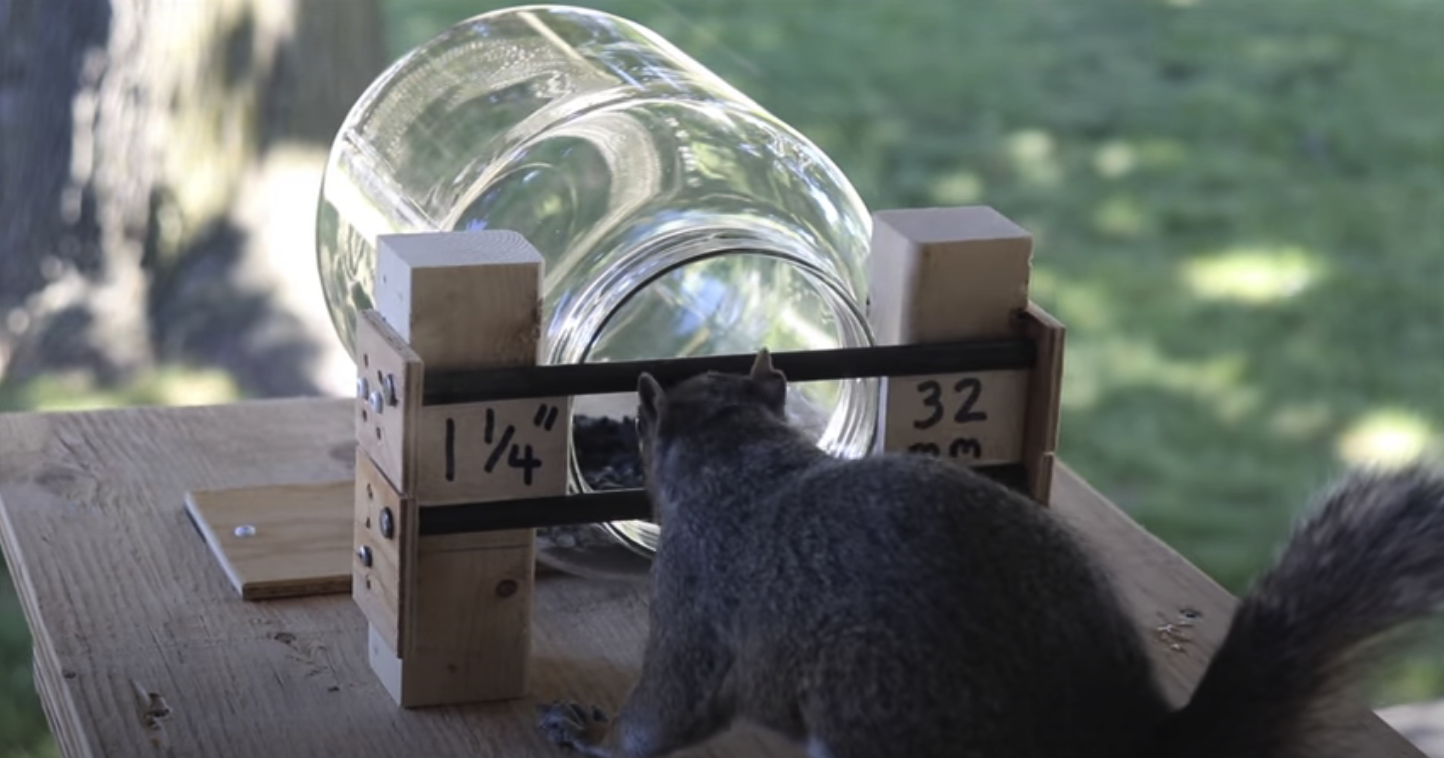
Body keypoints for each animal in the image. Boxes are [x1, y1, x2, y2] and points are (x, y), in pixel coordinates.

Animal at [537, 349, 1444, 758]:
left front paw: (592, 740)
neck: (742, 456)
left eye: (647, 426)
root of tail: (1120, 730)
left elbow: (666, 710)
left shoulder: (695, 597)